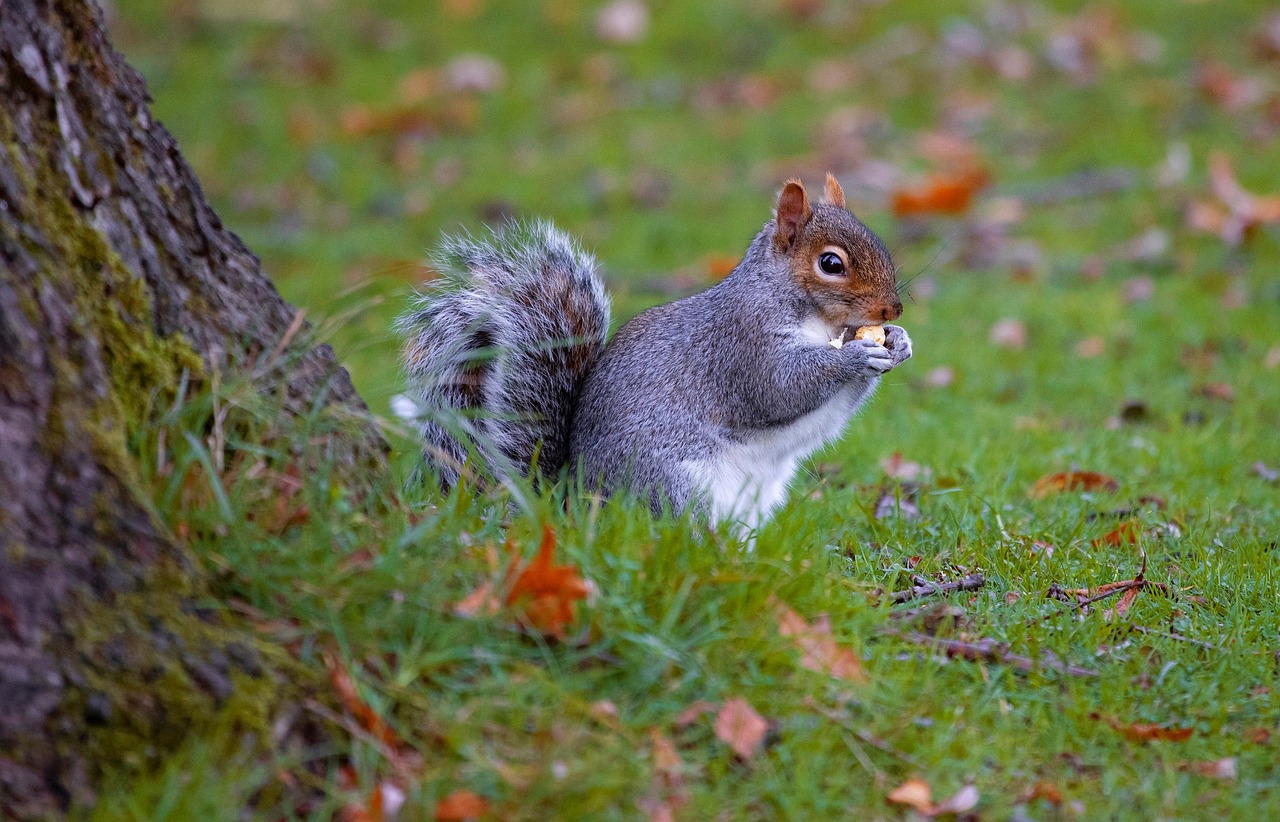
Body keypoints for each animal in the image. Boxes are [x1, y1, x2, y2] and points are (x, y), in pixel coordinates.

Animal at [399, 174, 912, 529]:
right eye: (831, 264)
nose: (894, 308)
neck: (818, 321)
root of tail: (574, 503)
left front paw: (899, 342)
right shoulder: (743, 344)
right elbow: (780, 388)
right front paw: (851, 359)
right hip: (672, 482)